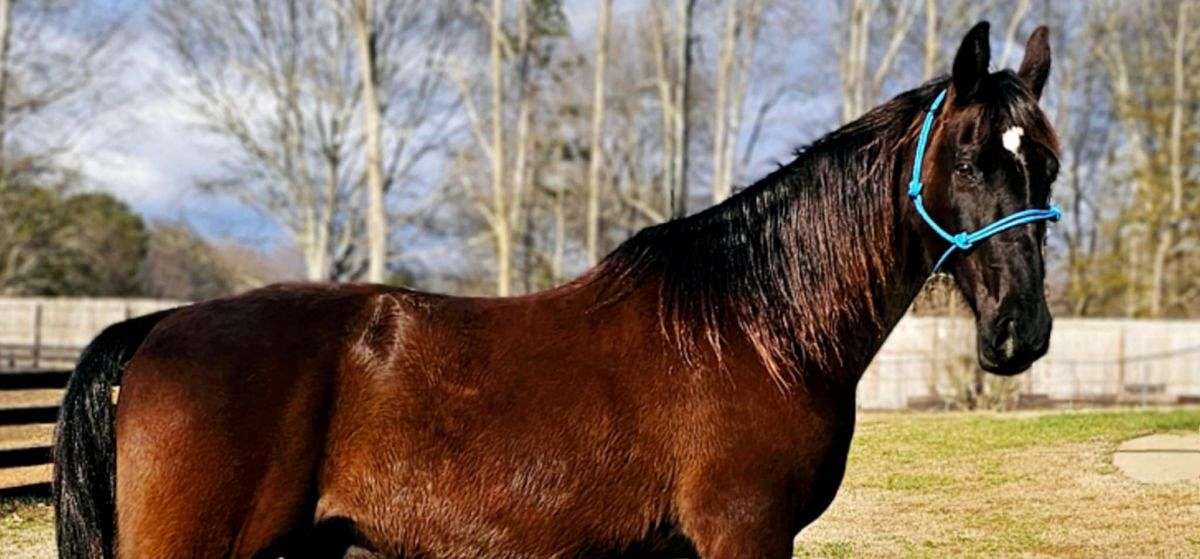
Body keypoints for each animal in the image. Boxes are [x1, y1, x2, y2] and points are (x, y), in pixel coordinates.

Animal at [54, 21, 1060, 558]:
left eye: (1045, 164)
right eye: (970, 158)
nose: (1022, 332)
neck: (757, 330)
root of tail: (156, 330)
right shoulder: (744, 532)